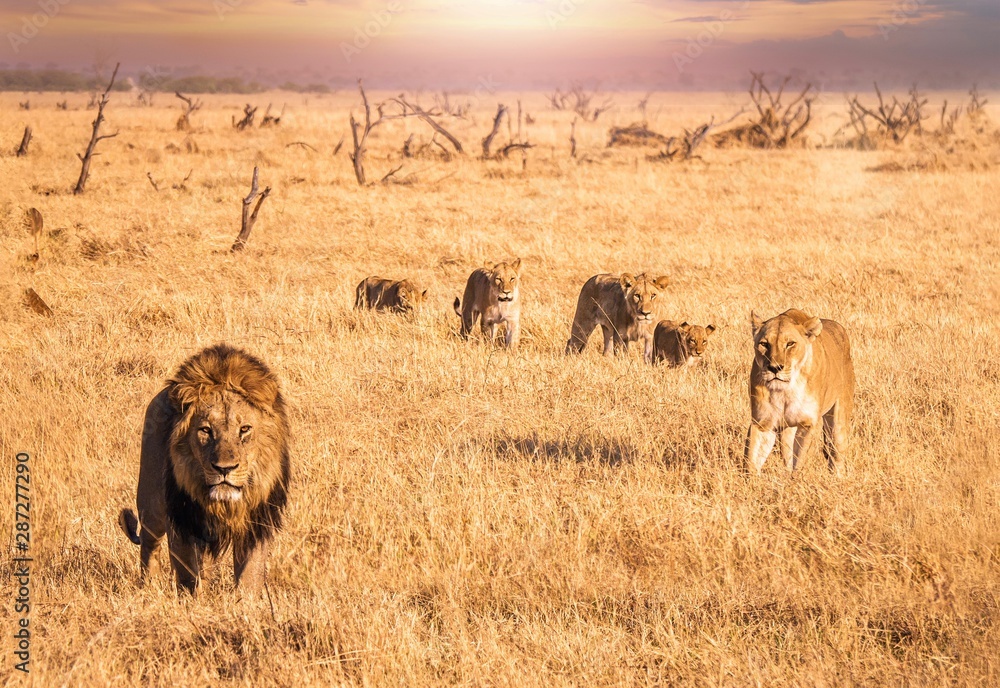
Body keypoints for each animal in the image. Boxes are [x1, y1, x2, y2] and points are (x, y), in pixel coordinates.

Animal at [118, 344, 291, 595]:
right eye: (206, 430)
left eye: (245, 429)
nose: (224, 469)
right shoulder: (181, 520)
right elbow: (188, 575)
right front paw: (192, 601)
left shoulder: (256, 523)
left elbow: (249, 576)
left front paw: (246, 603)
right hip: (151, 504)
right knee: (149, 544)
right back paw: (148, 587)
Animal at [745, 309, 855, 474]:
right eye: (764, 344)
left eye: (790, 344)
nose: (774, 368)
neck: (785, 391)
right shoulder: (762, 423)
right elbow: (751, 460)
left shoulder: (808, 424)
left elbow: (800, 461)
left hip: (838, 423)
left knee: (836, 454)